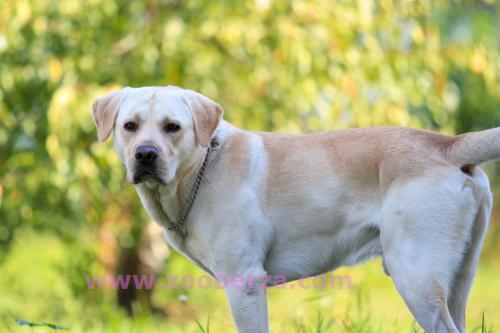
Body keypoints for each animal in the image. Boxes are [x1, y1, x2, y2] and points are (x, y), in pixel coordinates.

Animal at [93, 85, 496, 332]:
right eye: (130, 126)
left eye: (172, 127)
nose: (146, 155)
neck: (200, 171)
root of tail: (446, 144)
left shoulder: (245, 284)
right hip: (458, 280)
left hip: (415, 276)